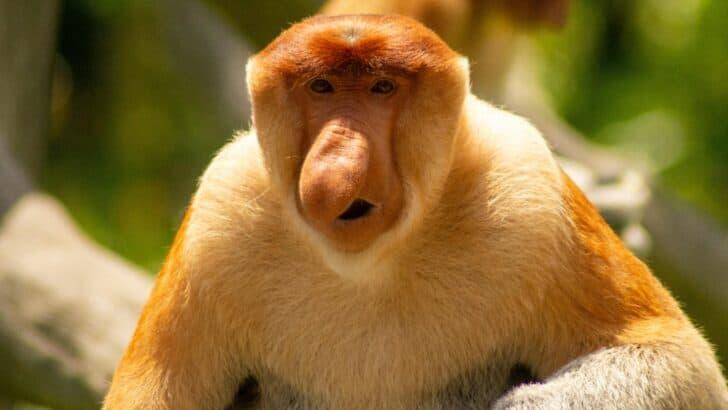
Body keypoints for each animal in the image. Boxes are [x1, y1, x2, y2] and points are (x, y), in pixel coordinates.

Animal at [104, 14, 728, 410]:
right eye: (322, 87)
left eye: (382, 87)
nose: (338, 161)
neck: (373, 265)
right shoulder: (219, 212)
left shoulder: (529, 189)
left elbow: (677, 362)